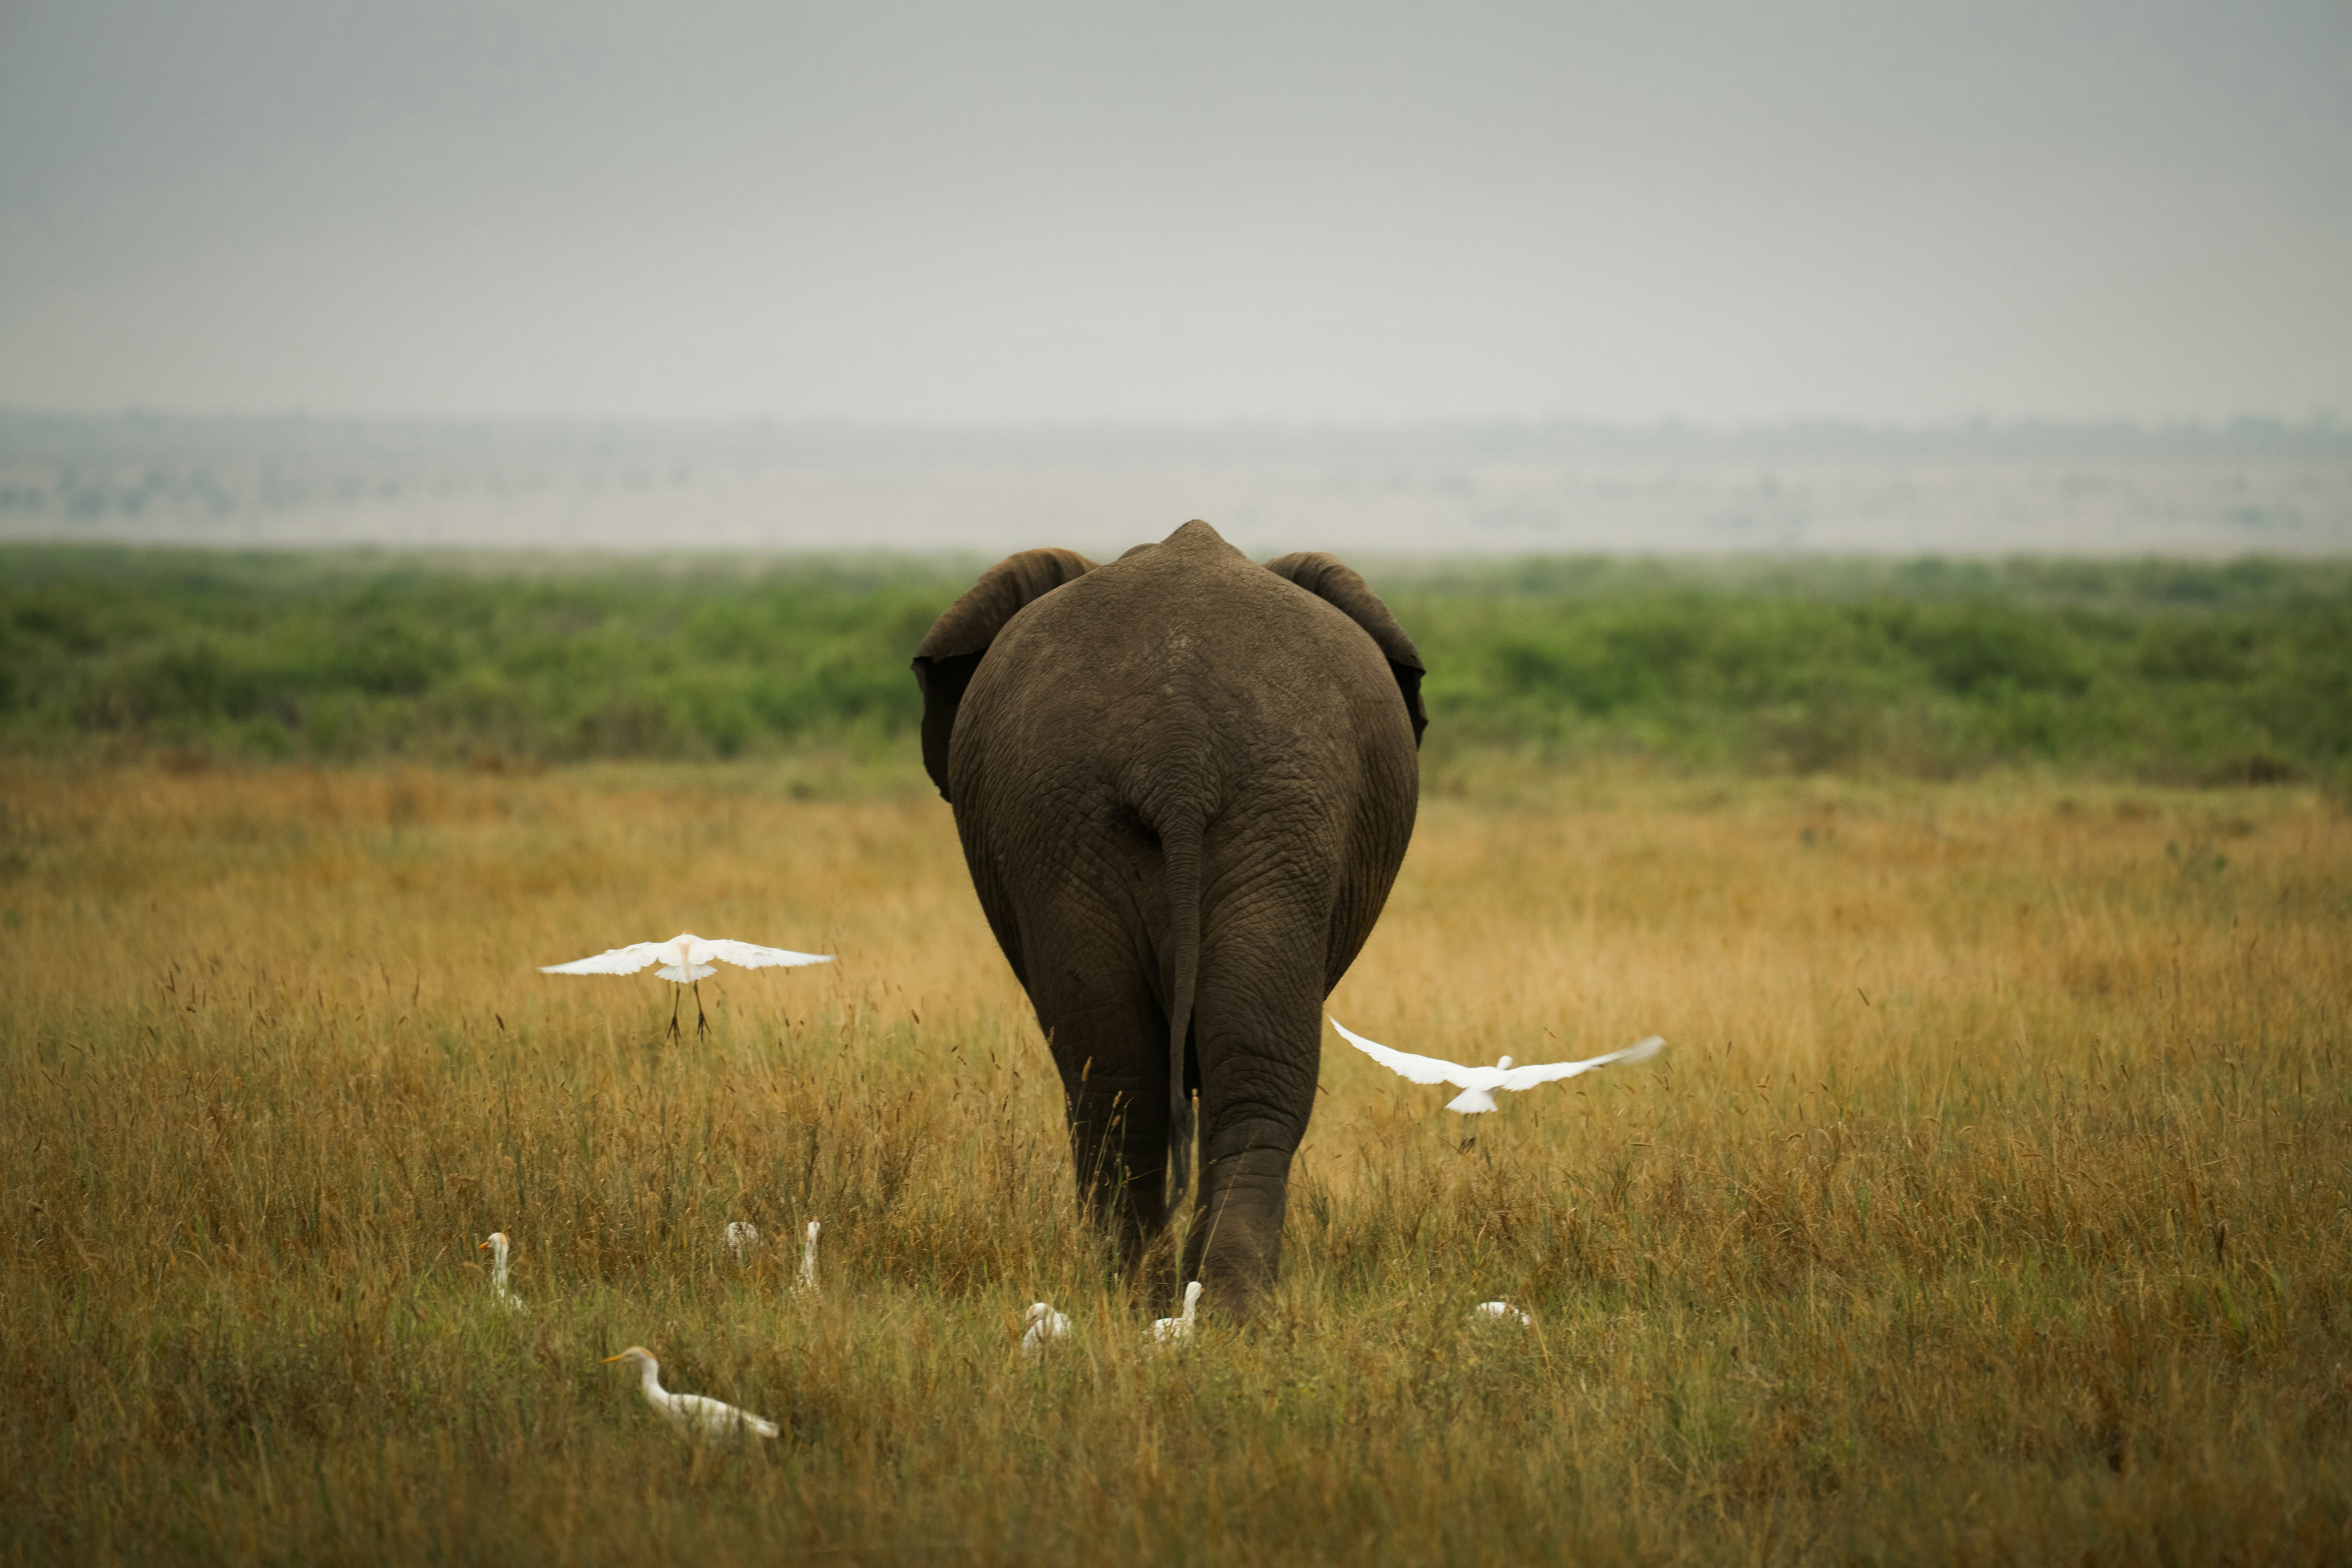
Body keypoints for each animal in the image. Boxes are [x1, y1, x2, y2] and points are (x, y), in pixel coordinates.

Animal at [911, 518, 1426, 1311]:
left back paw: (1173, 1303)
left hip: (1181, 820)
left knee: (1139, 1080)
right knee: (1167, 1082)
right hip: (1173, 820)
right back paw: (1193, 1305)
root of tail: (1178, 752)